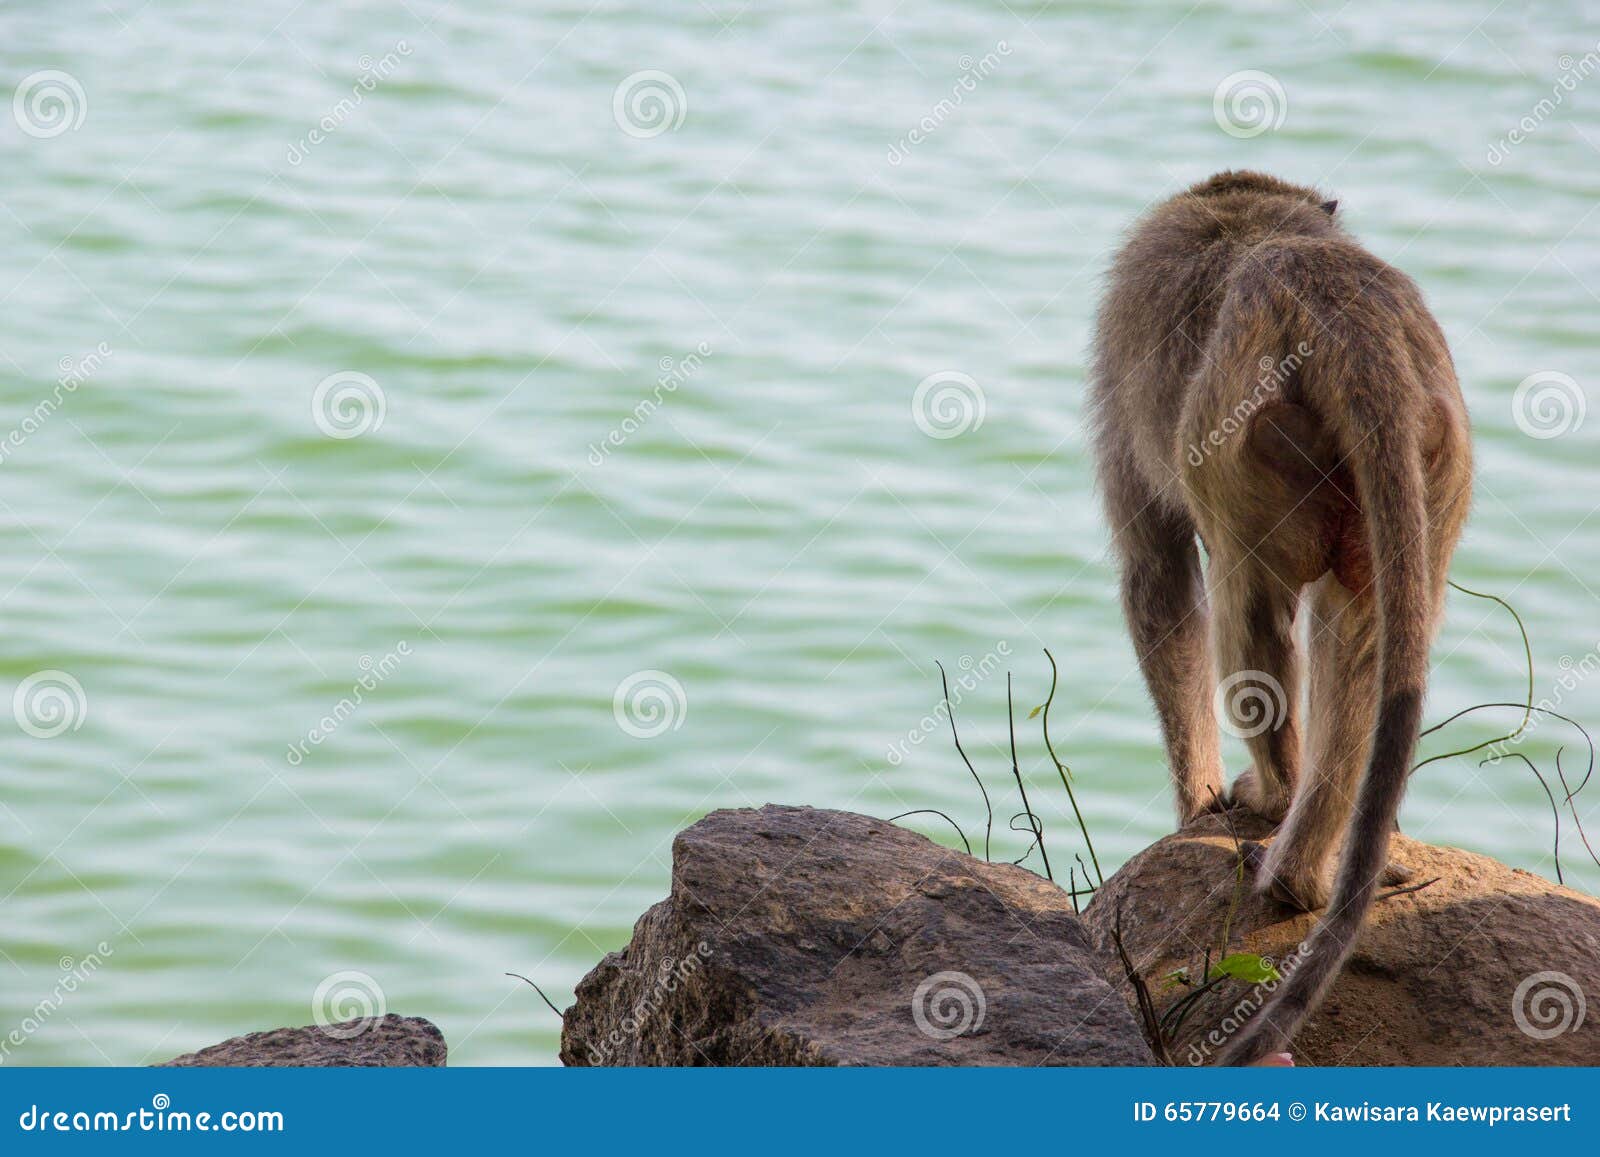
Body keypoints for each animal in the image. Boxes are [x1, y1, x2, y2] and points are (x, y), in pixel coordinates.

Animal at [1089, 171, 1472, 1066]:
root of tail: (1345, 310)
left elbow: (1157, 576)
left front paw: (1197, 806)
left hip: (1244, 444)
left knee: (1248, 600)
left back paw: (1278, 818)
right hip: (1433, 449)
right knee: (1361, 628)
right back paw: (1317, 856)